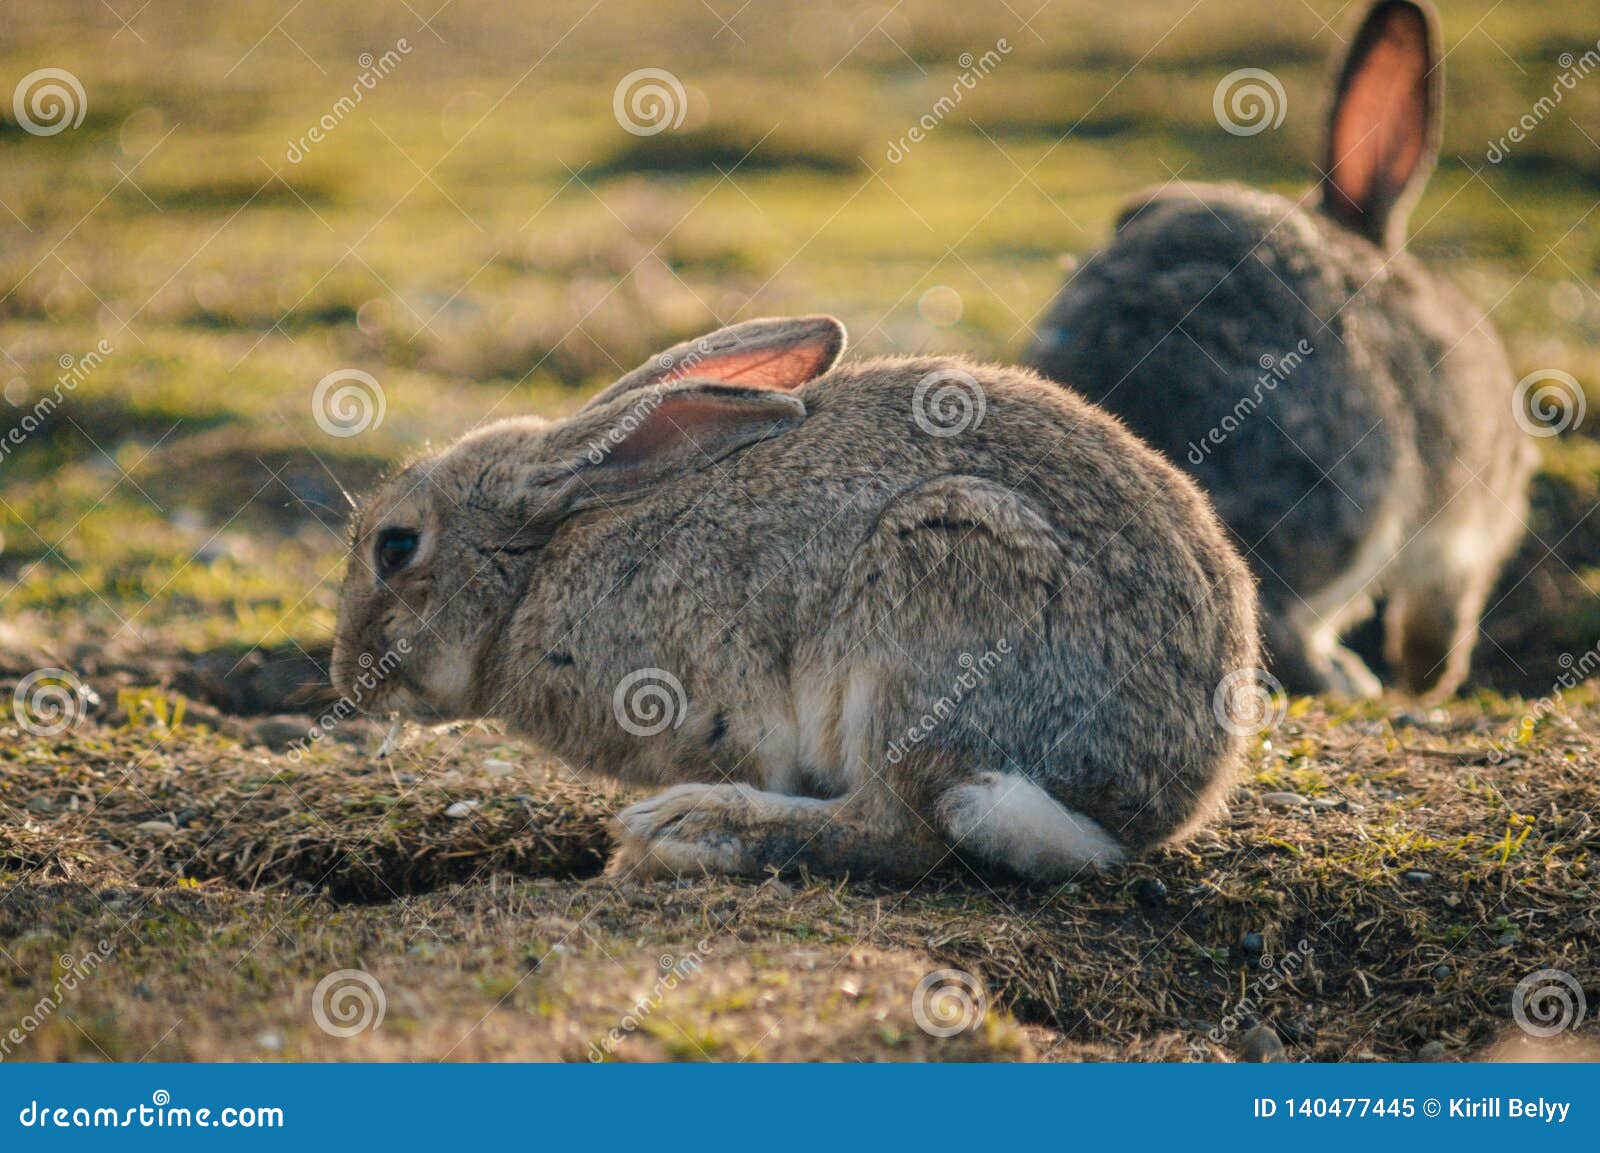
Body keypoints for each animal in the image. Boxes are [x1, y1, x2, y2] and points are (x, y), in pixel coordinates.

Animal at [332, 315, 1259, 882]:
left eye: (395, 546)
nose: (345, 680)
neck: (535, 571)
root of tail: (1154, 802)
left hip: (940, 592)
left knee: (905, 830)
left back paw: (686, 830)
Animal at [1024, 0, 1536, 702]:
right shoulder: (1469, 531)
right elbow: (1444, 608)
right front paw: (1427, 680)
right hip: (1348, 499)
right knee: (1280, 623)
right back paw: (1348, 679)